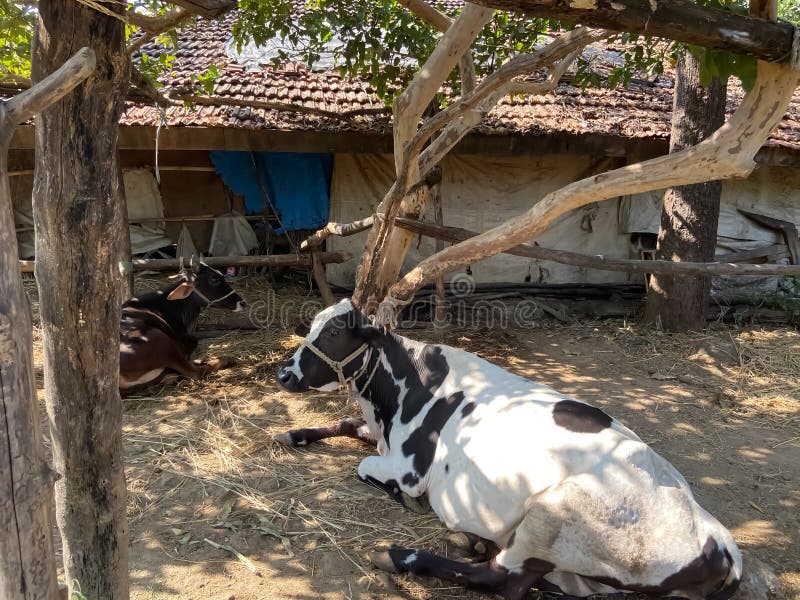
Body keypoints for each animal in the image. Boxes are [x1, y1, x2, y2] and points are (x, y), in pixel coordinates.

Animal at [275, 299, 742, 600]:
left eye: (334, 332)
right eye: (313, 325)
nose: (283, 374)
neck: (396, 397)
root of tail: (719, 543)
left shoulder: (409, 466)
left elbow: (363, 466)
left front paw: (405, 500)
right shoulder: (383, 435)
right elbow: (345, 424)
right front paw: (293, 434)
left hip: (553, 517)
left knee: (503, 581)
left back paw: (400, 554)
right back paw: (471, 540)